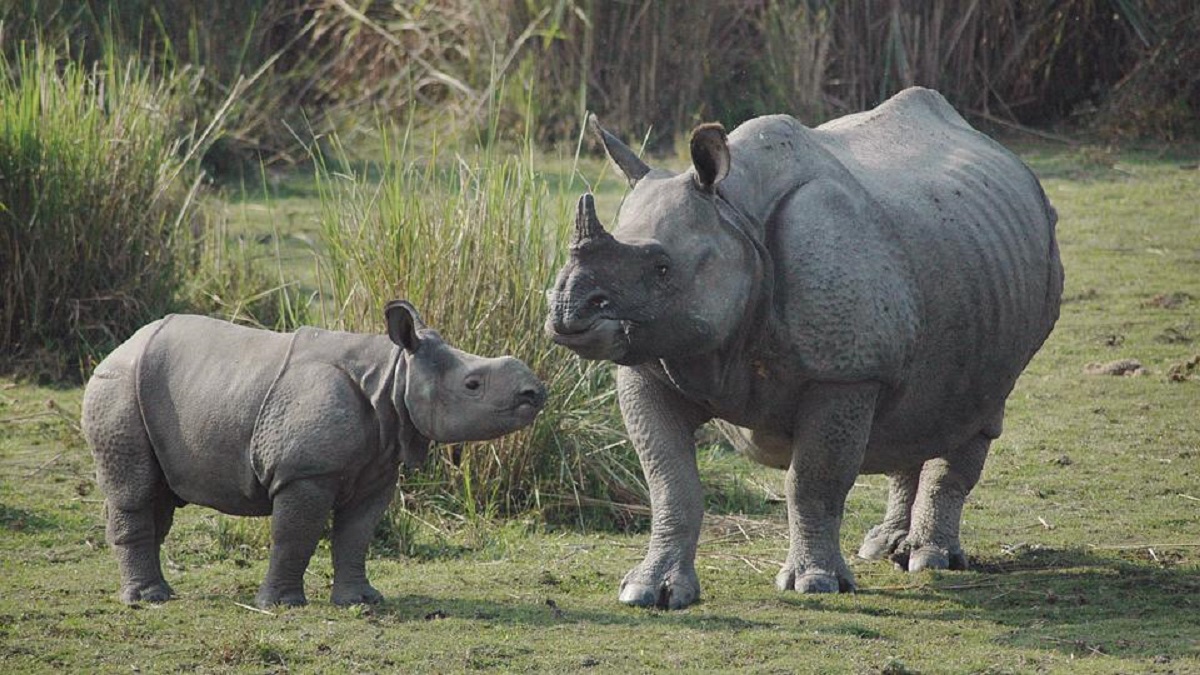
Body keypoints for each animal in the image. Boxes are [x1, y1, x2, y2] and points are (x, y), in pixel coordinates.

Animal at [82, 301, 546, 608]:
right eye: (473, 385)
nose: (535, 393)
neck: (394, 375)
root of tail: (118, 348)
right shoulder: (305, 472)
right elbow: (295, 534)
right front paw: (282, 605)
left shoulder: (378, 466)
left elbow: (356, 535)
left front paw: (362, 601)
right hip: (118, 387)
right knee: (136, 489)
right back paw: (149, 600)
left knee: (158, 495)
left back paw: (154, 592)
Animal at [546, 87, 1063, 608]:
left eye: (662, 268)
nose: (569, 305)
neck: (736, 215)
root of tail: (1009, 158)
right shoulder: (649, 362)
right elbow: (670, 482)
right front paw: (648, 590)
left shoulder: (845, 372)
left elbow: (813, 480)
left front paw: (814, 583)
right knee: (917, 408)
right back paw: (883, 547)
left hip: (1025, 264)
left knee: (979, 406)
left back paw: (927, 557)